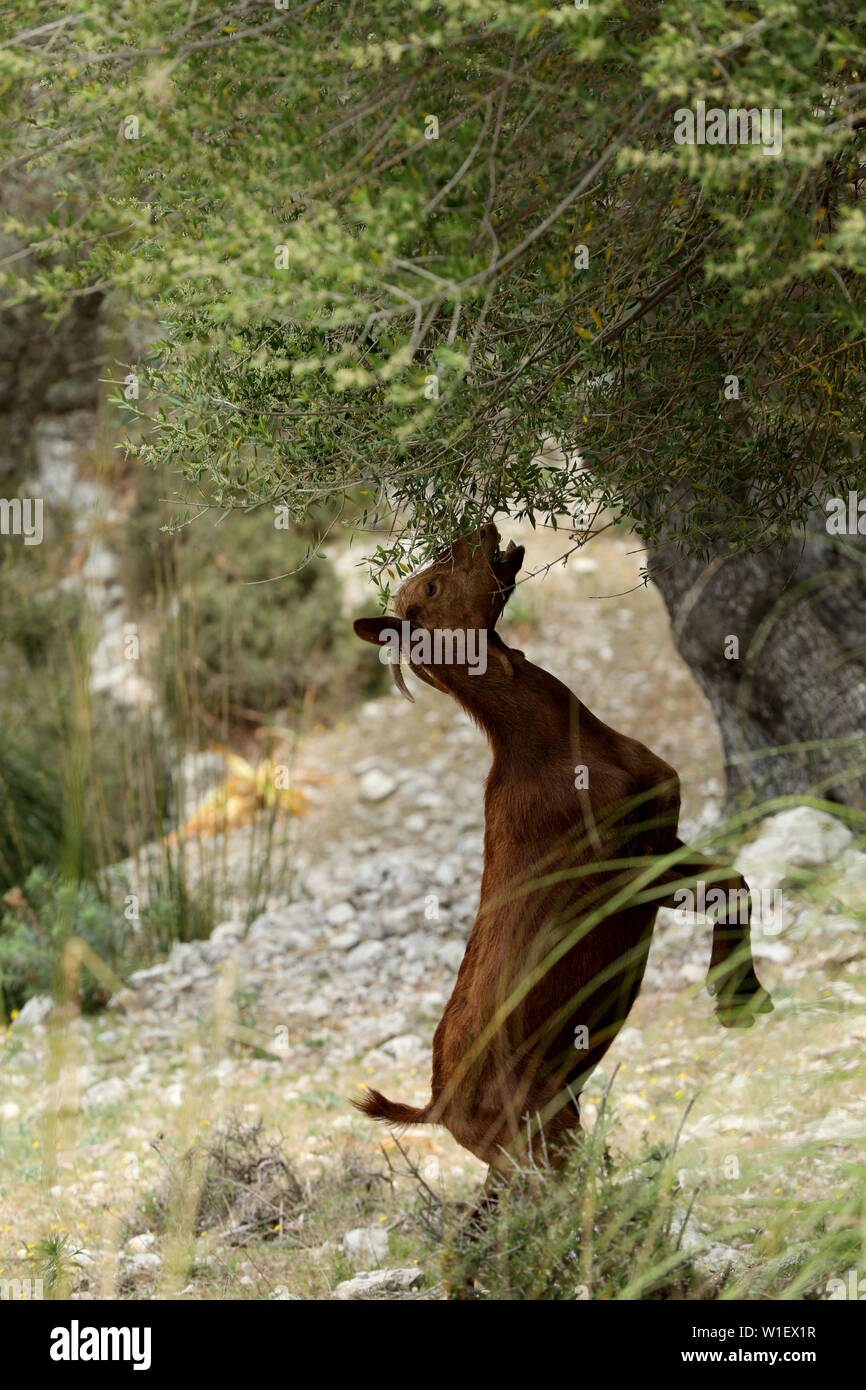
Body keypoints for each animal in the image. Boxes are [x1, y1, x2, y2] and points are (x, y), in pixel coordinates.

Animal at [353, 523, 772, 1185]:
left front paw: (742, 997)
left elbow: (734, 883)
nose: (478, 528)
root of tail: (437, 1108)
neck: (555, 743)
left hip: (537, 1138)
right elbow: (730, 885)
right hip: (538, 1141)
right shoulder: (625, 869)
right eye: (433, 586)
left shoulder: (662, 837)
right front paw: (734, 998)